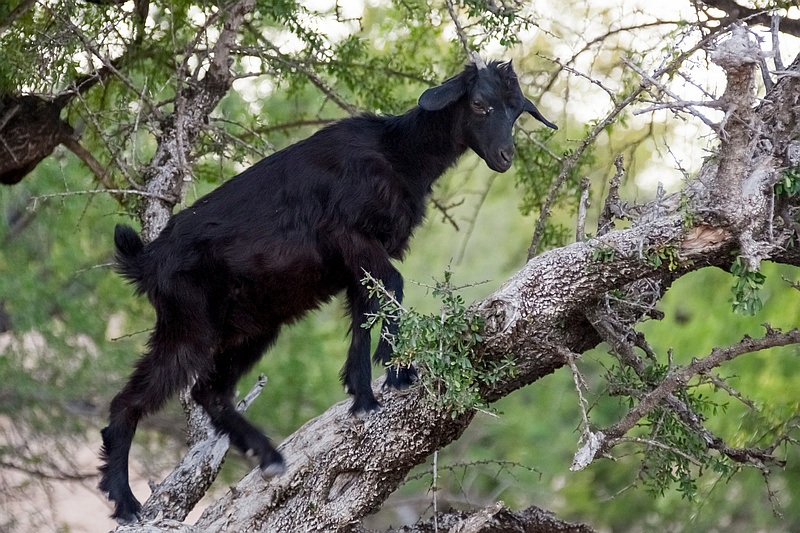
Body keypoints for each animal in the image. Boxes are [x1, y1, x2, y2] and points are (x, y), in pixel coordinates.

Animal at [99, 60, 556, 523]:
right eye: (480, 104)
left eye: (517, 111)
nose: (504, 157)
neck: (398, 154)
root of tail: (147, 261)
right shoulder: (350, 234)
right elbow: (391, 287)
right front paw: (396, 370)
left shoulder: (355, 260)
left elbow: (364, 311)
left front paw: (362, 393)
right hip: (189, 323)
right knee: (131, 400)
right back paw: (125, 501)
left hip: (253, 324)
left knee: (208, 392)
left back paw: (268, 457)